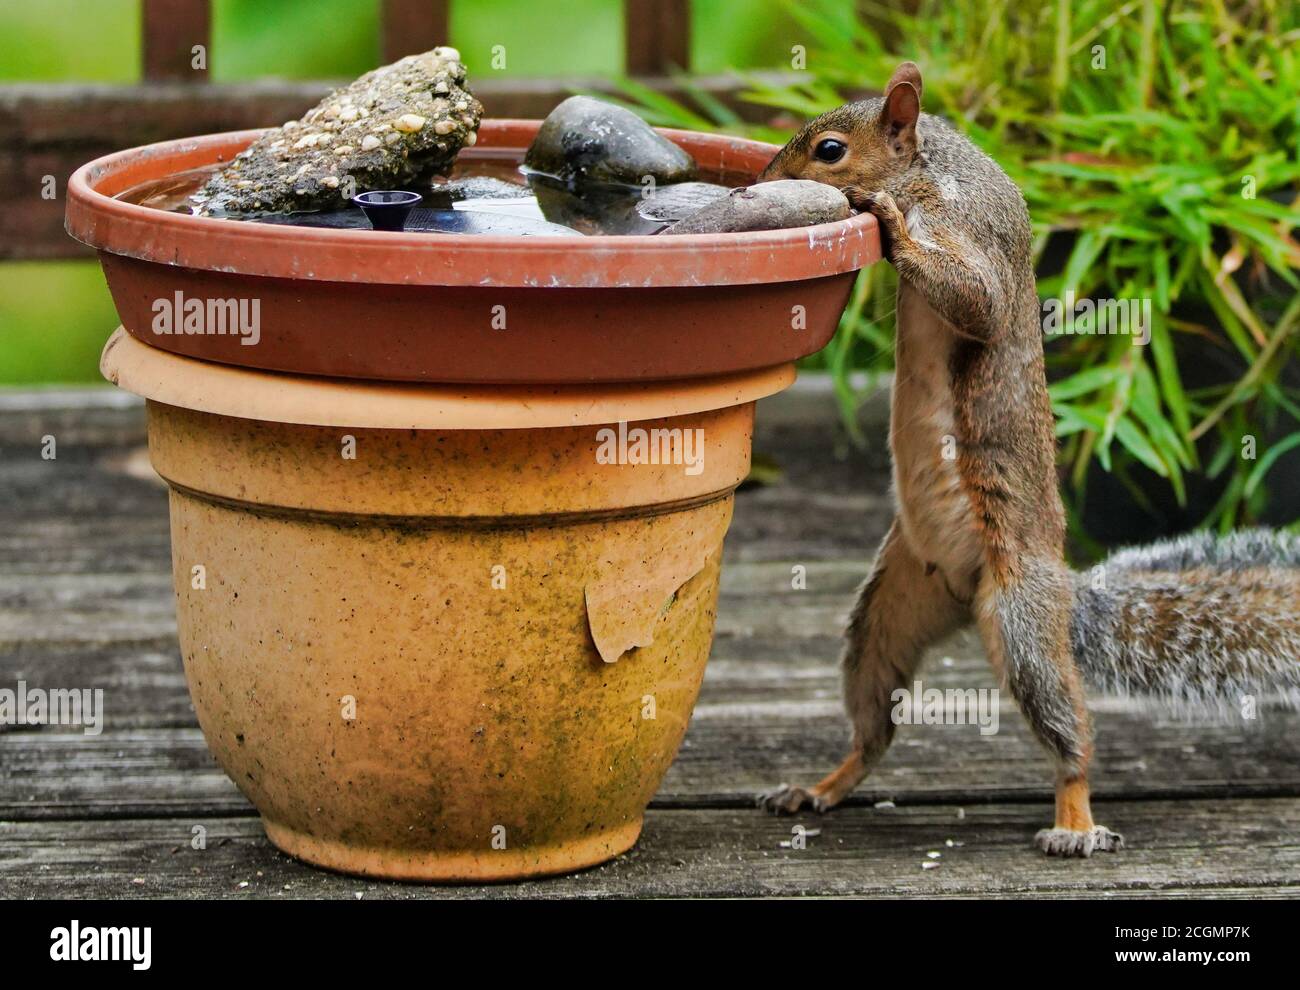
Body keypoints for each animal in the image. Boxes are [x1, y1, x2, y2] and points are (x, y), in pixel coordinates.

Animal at [755, 61, 1300, 857]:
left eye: (829, 150)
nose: (764, 176)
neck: (931, 169)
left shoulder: (974, 230)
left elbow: (978, 301)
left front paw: (888, 224)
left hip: (1018, 624)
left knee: (1073, 737)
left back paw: (1075, 822)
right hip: (889, 609)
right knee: (873, 726)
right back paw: (821, 785)